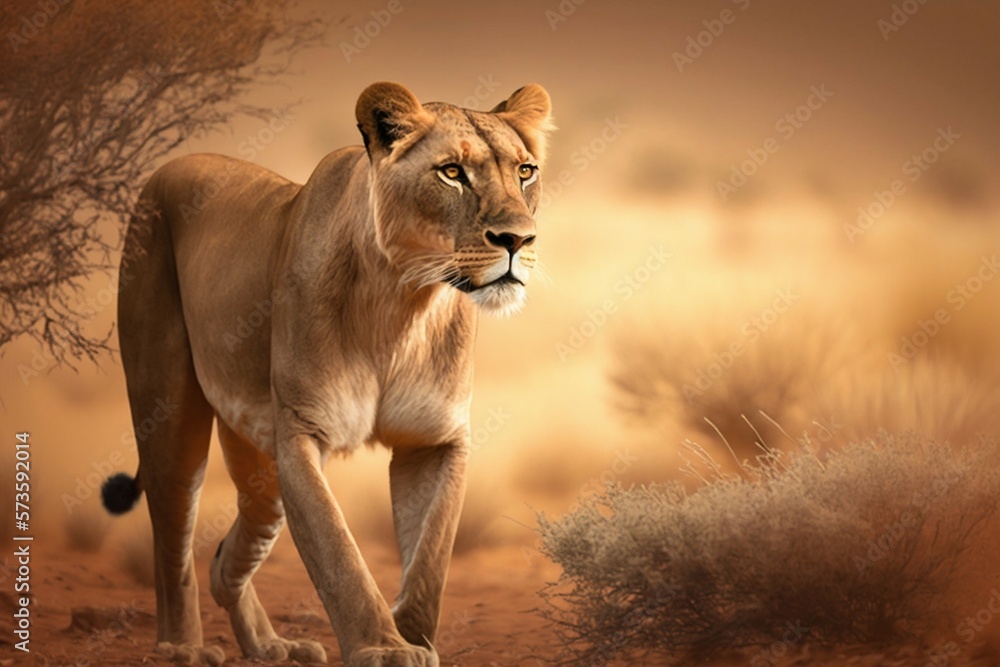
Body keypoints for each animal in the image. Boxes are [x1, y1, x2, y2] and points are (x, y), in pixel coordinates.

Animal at [100, 81, 552, 666]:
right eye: (452, 172)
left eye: (525, 171)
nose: (518, 240)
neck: (402, 300)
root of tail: (169, 167)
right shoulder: (301, 433)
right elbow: (338, 553)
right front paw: (383, 646)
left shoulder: (436, 440)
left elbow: (430, 560)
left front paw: (413, 638)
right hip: (172, 414)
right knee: (174, 537)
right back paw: (183, 646)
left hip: (259, 457)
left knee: (225, 559)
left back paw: (272, 645)